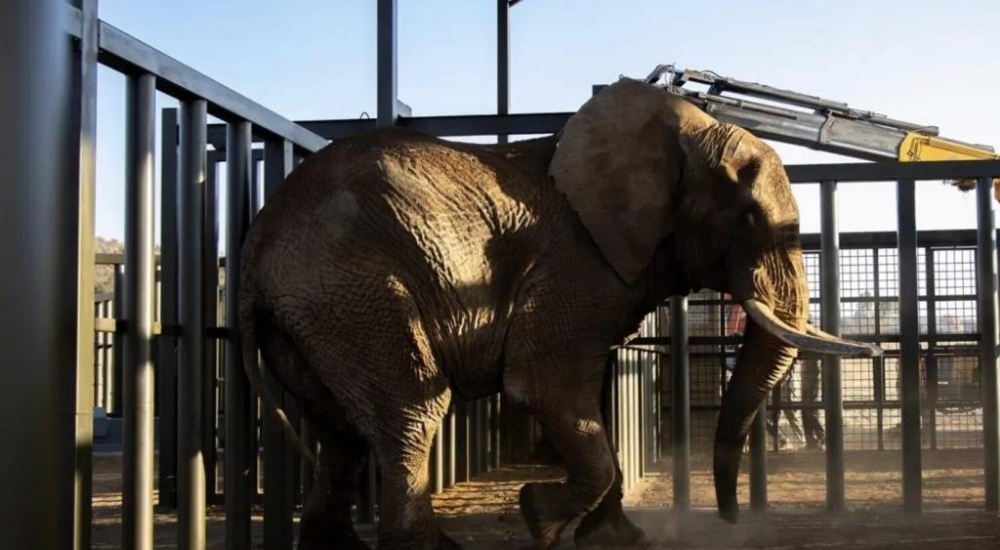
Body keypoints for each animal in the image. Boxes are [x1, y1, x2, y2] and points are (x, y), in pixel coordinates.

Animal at [237, 77, 881, 550]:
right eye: (746, 218)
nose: (729, 521)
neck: (678, 131)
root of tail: (257, 240)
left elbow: (590, 399)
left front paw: (619, 539)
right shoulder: (575, 262)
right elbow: (545, 387)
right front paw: (538, 519)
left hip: (313, 312)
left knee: (338, 431)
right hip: (355, 288)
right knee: (412, 412)